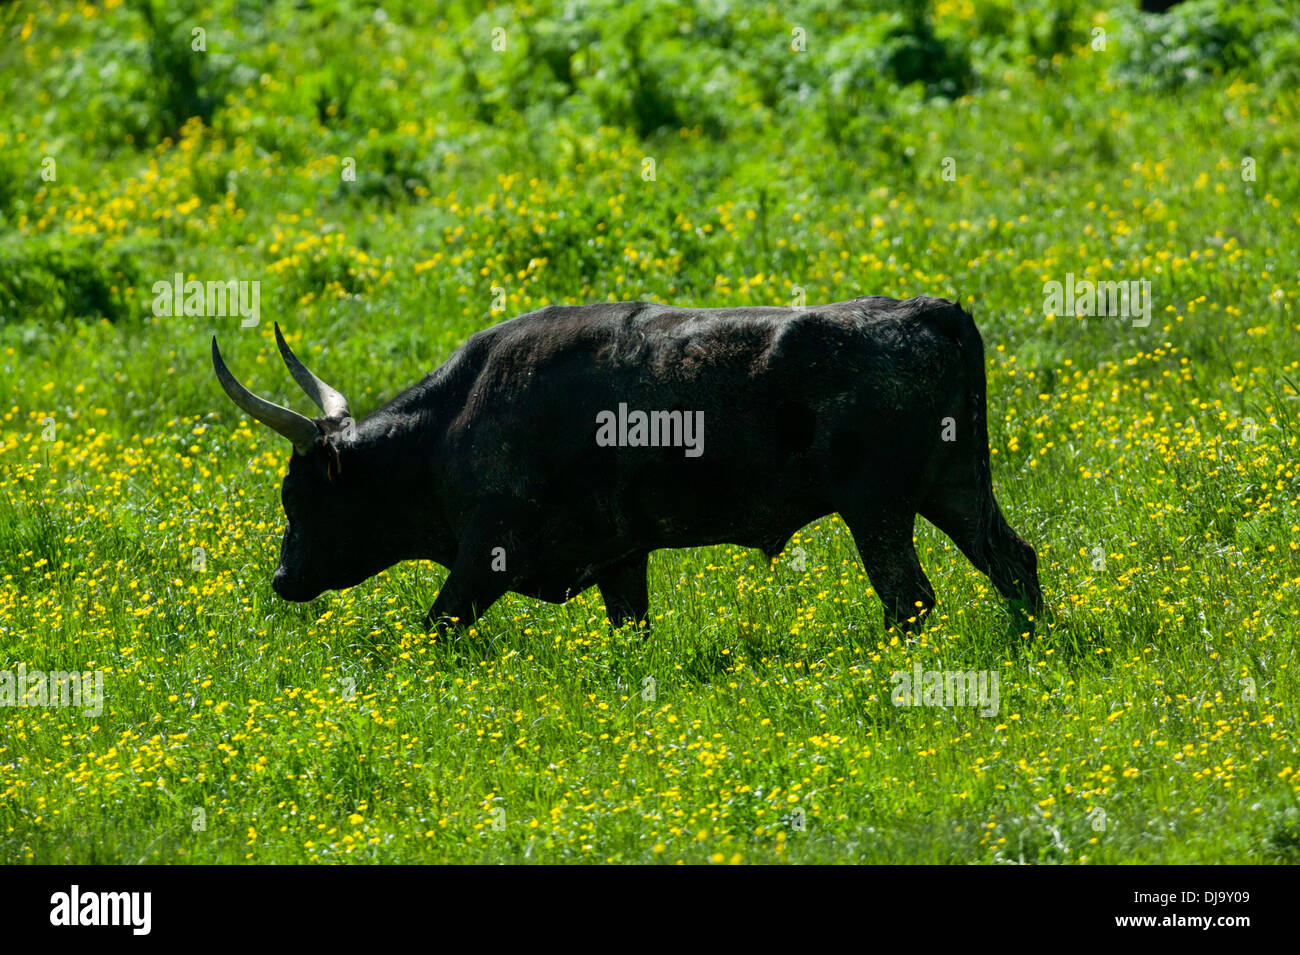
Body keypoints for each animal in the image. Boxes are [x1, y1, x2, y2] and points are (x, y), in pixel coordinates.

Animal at [211, 296, 1044, 635]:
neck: (454, 422)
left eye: (299, 497)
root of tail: (926, 308)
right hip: (955, 491)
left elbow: (437, 622)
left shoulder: (486, 554)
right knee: (1015, 561)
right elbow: (630, 628)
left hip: (878, 510)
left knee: (910, 598)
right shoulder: (621, 558)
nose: (282, 579)